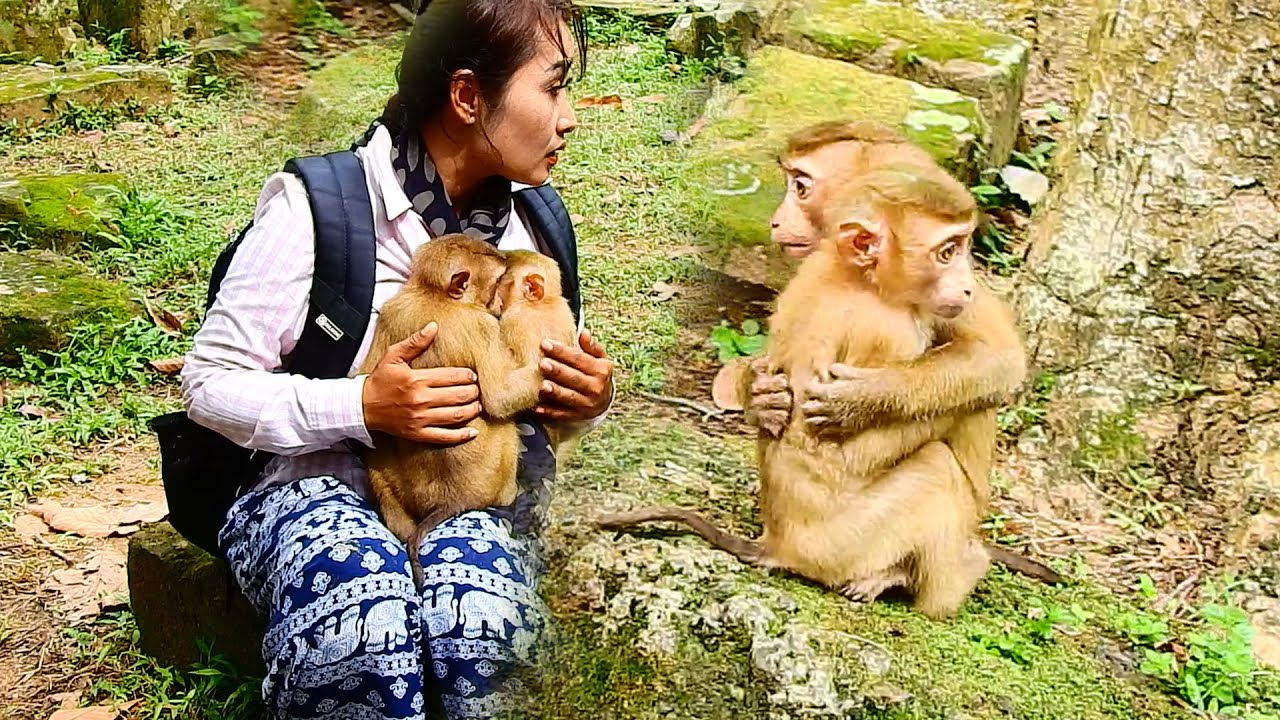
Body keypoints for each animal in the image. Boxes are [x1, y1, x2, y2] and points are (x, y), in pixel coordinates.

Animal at [360, 234, 544, 587]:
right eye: (496, 283)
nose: (498, 305)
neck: (434, 295)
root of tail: (449, 500)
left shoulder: (393, 310)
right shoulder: (482, 325)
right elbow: (499, 399)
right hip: (493, 475)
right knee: (505, 426)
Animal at [601, 166, 1057, 618]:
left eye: (962, 247)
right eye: (946, 252)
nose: (967, 286)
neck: (855, 276)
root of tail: (779, 544)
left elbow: (995, 355)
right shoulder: (892, 323)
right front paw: (865, 399)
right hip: (846, 544)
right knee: (945, 448)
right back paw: (944, 583)